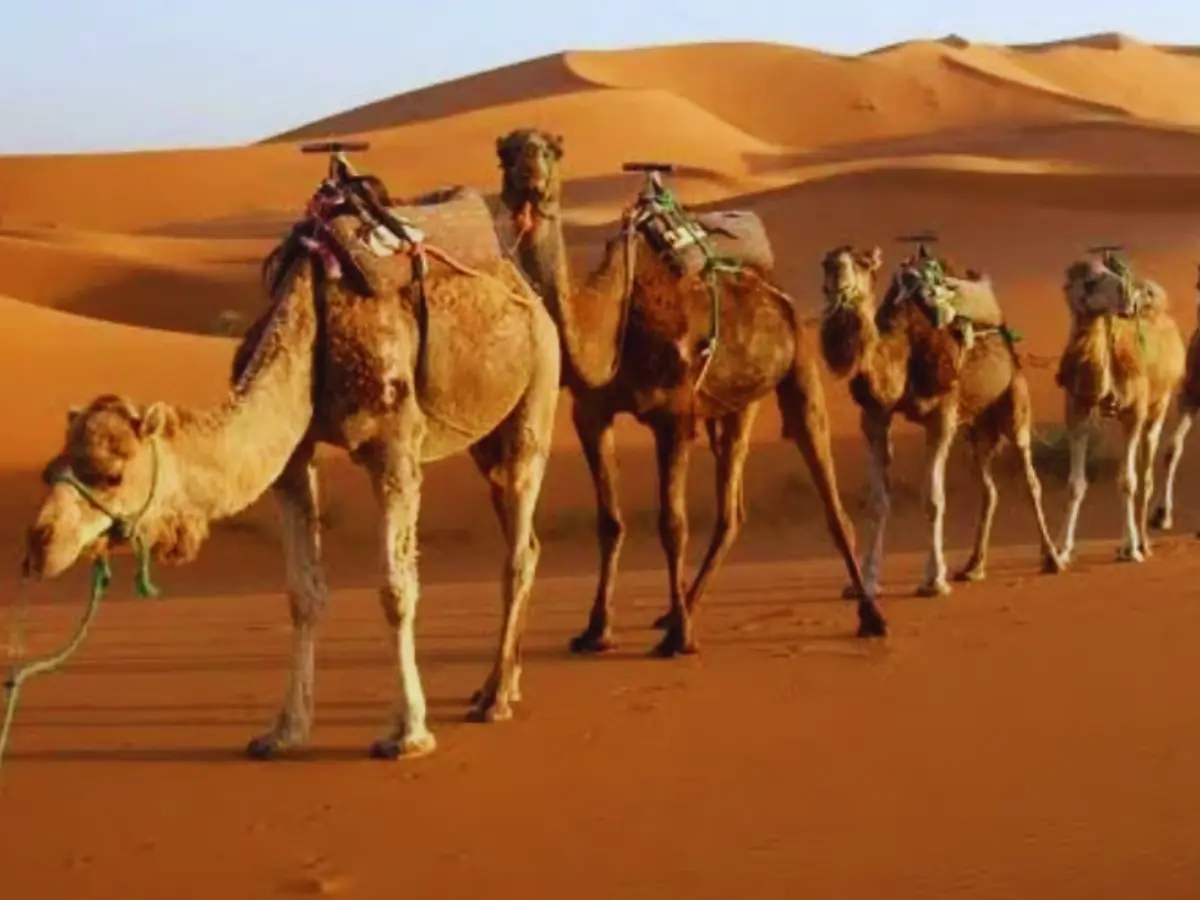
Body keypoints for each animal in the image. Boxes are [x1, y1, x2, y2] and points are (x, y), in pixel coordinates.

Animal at [22, 168, 562, 760]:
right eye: (52, 470)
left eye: (111, 475)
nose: (39, 545)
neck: (310, 326)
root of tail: (528, 292)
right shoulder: (291, 458)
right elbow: (303, 594)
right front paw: (283, 731)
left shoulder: (393, 445)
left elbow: (396, 588)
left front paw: (408, 733)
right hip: (483, 440)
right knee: (525, 537)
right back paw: (495, 686)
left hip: (538, 389)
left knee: (519, 546)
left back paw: (496, 700)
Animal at [494, 128, 885, 654]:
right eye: (505, 152)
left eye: (551, 150)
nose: (528, 176)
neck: (611, 319)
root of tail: (774, 285)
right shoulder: (591, 414)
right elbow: (610, 522)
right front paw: (597, 629)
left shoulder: (674, 416)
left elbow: (672, 524)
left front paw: (678, 639)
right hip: (735, 406)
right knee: (731, 511)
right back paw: (678, 608)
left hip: (799, 374)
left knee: (830, 503)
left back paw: (870, 614)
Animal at [817, 243, 1063, 599]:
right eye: (825, 263)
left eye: (863, 263)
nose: (837, 274)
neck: (901, 353)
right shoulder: (874, 416)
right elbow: (877, 502)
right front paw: (865, 582)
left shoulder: (942, 415)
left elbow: (933, 499)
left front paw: (934, 580)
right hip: (976, 428)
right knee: (989, 489)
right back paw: (973, 566)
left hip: (1014, 404)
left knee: (1031, 480)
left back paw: (1053, 558)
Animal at [1055, 252, 1185, 562]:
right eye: (1089, 282)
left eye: (1110, 272)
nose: (1127, 295)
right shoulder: (1077, 410)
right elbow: (1075, 483)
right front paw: (1062, 549)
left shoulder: (1134, 413)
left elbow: (1128, 481)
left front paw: (1131, 547)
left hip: (1160, 403)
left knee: (1147, 471)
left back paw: (1146, 540)